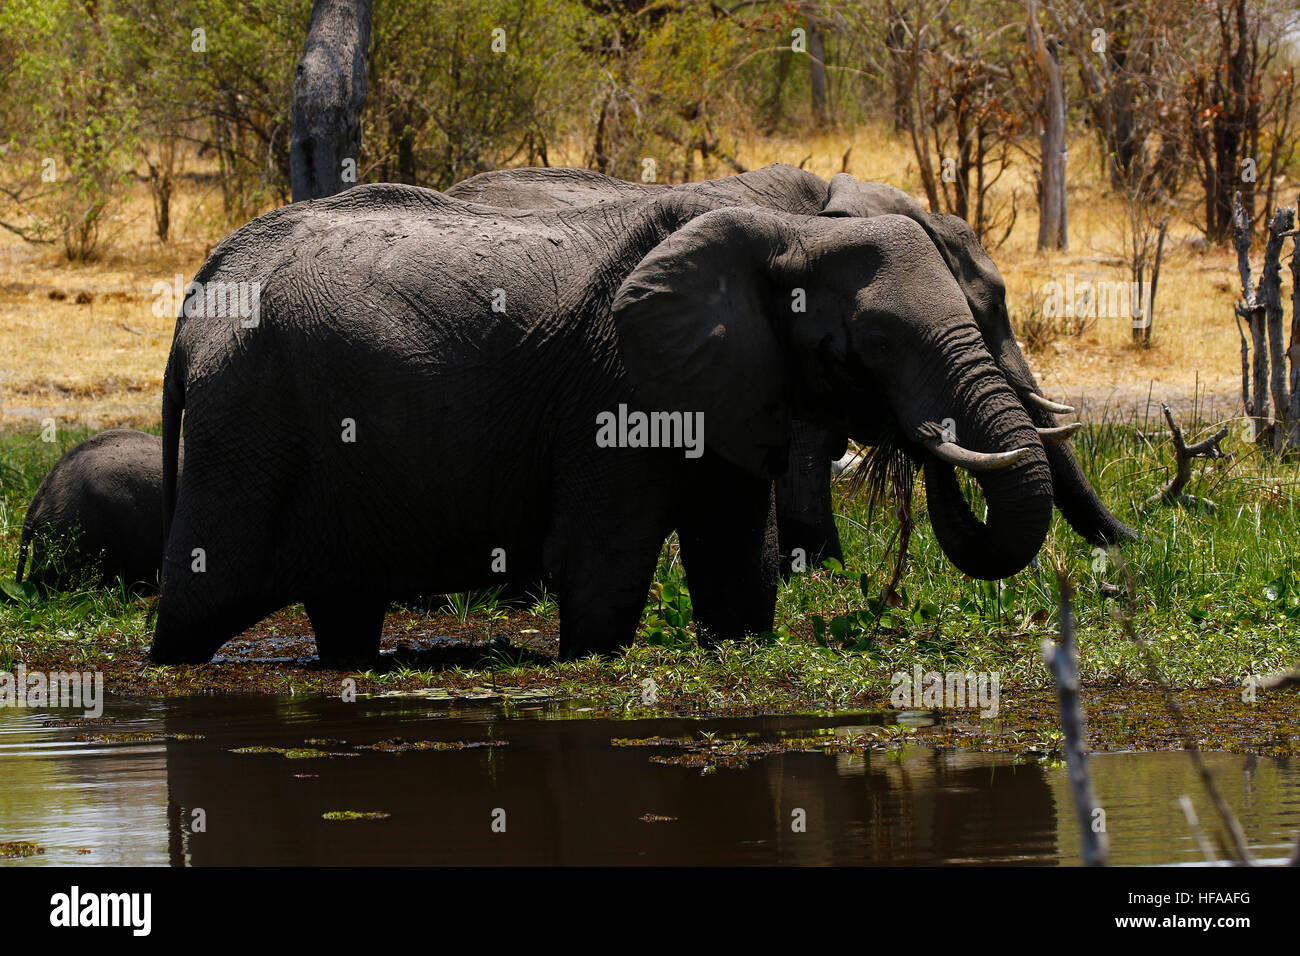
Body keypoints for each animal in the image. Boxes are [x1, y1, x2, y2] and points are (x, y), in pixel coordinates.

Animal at [148, 181, 1052, 664]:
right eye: (872, 344)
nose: (928, 444)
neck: (791, 232)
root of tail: (205, 287)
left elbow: (740, 574)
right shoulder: (612, 395)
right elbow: (603, 567)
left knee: (345, 612)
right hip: (245, 422)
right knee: (196, 606)